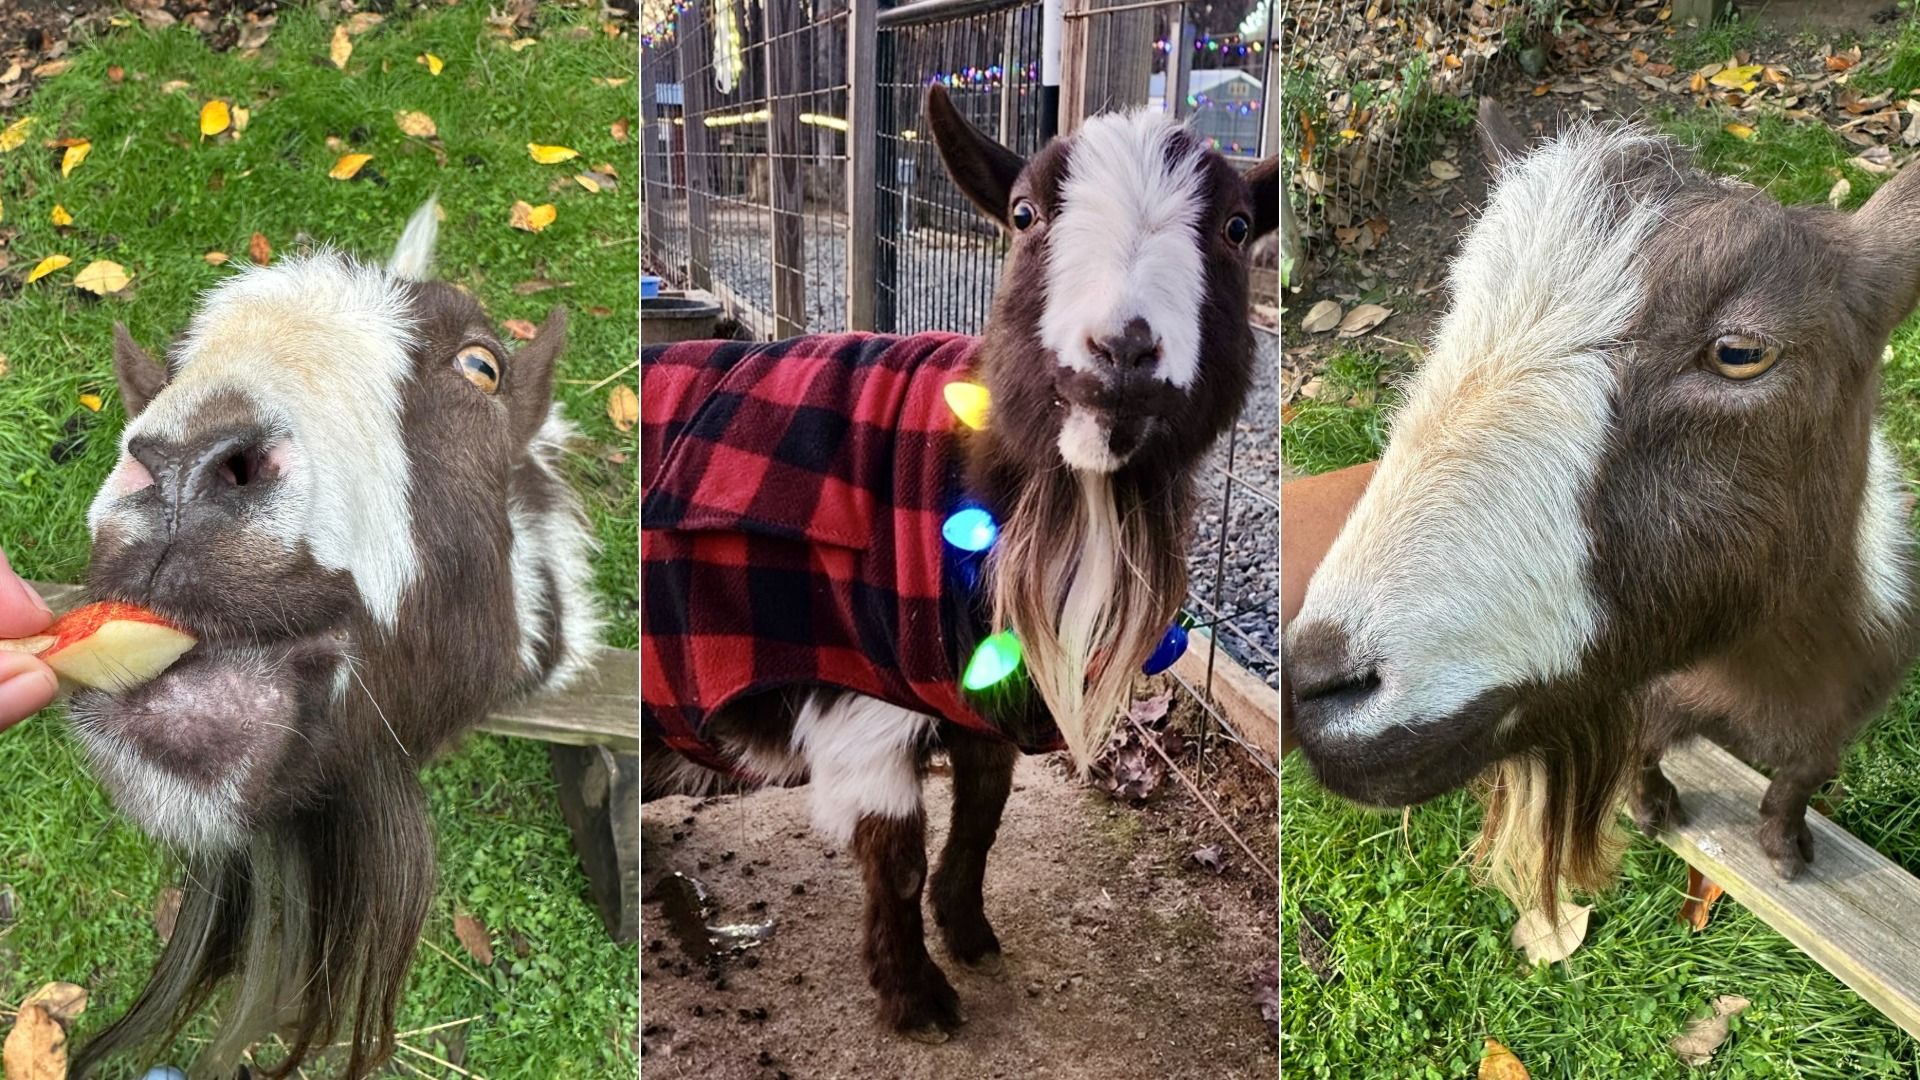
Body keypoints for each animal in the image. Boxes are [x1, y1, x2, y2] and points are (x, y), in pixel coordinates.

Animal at [640, 85, 1278, 1039]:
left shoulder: (982, 687)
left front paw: (969, 931)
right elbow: (896, 855)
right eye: (1023, 214)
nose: (1122, 352)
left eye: (1237, 227)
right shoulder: (863, 704)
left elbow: (983, 817)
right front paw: (916, 998)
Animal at [1285, 100, 1920, 914]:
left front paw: (1785, 850)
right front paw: (1654, 810)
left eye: (1741, 352)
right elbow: (1646, 759)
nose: (1319, 685)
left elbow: (1798, 779)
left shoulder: (1837, 716)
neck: (1750, 680)